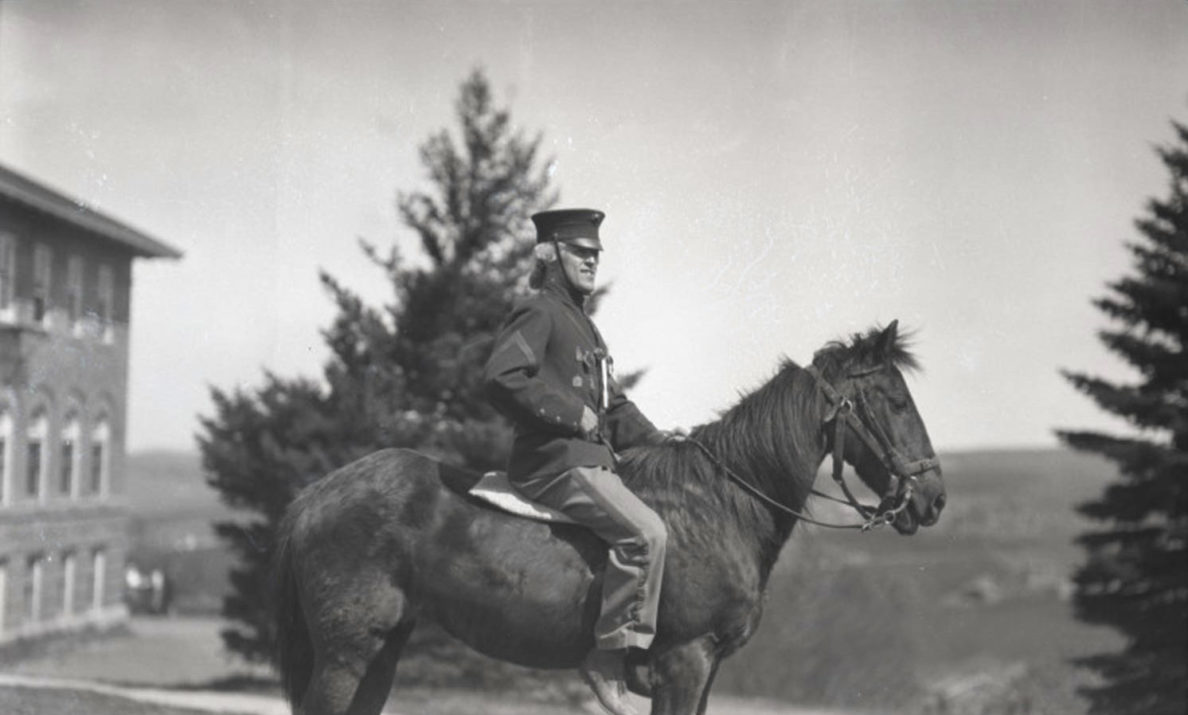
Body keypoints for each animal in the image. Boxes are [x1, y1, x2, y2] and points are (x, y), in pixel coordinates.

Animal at [272, 320, 946, 715]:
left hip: (380, 651)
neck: (722, 503)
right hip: (347, 653)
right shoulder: (684, 661)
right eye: (895, 400)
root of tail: (313, 495)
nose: (933, 498)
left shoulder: (707, 670)